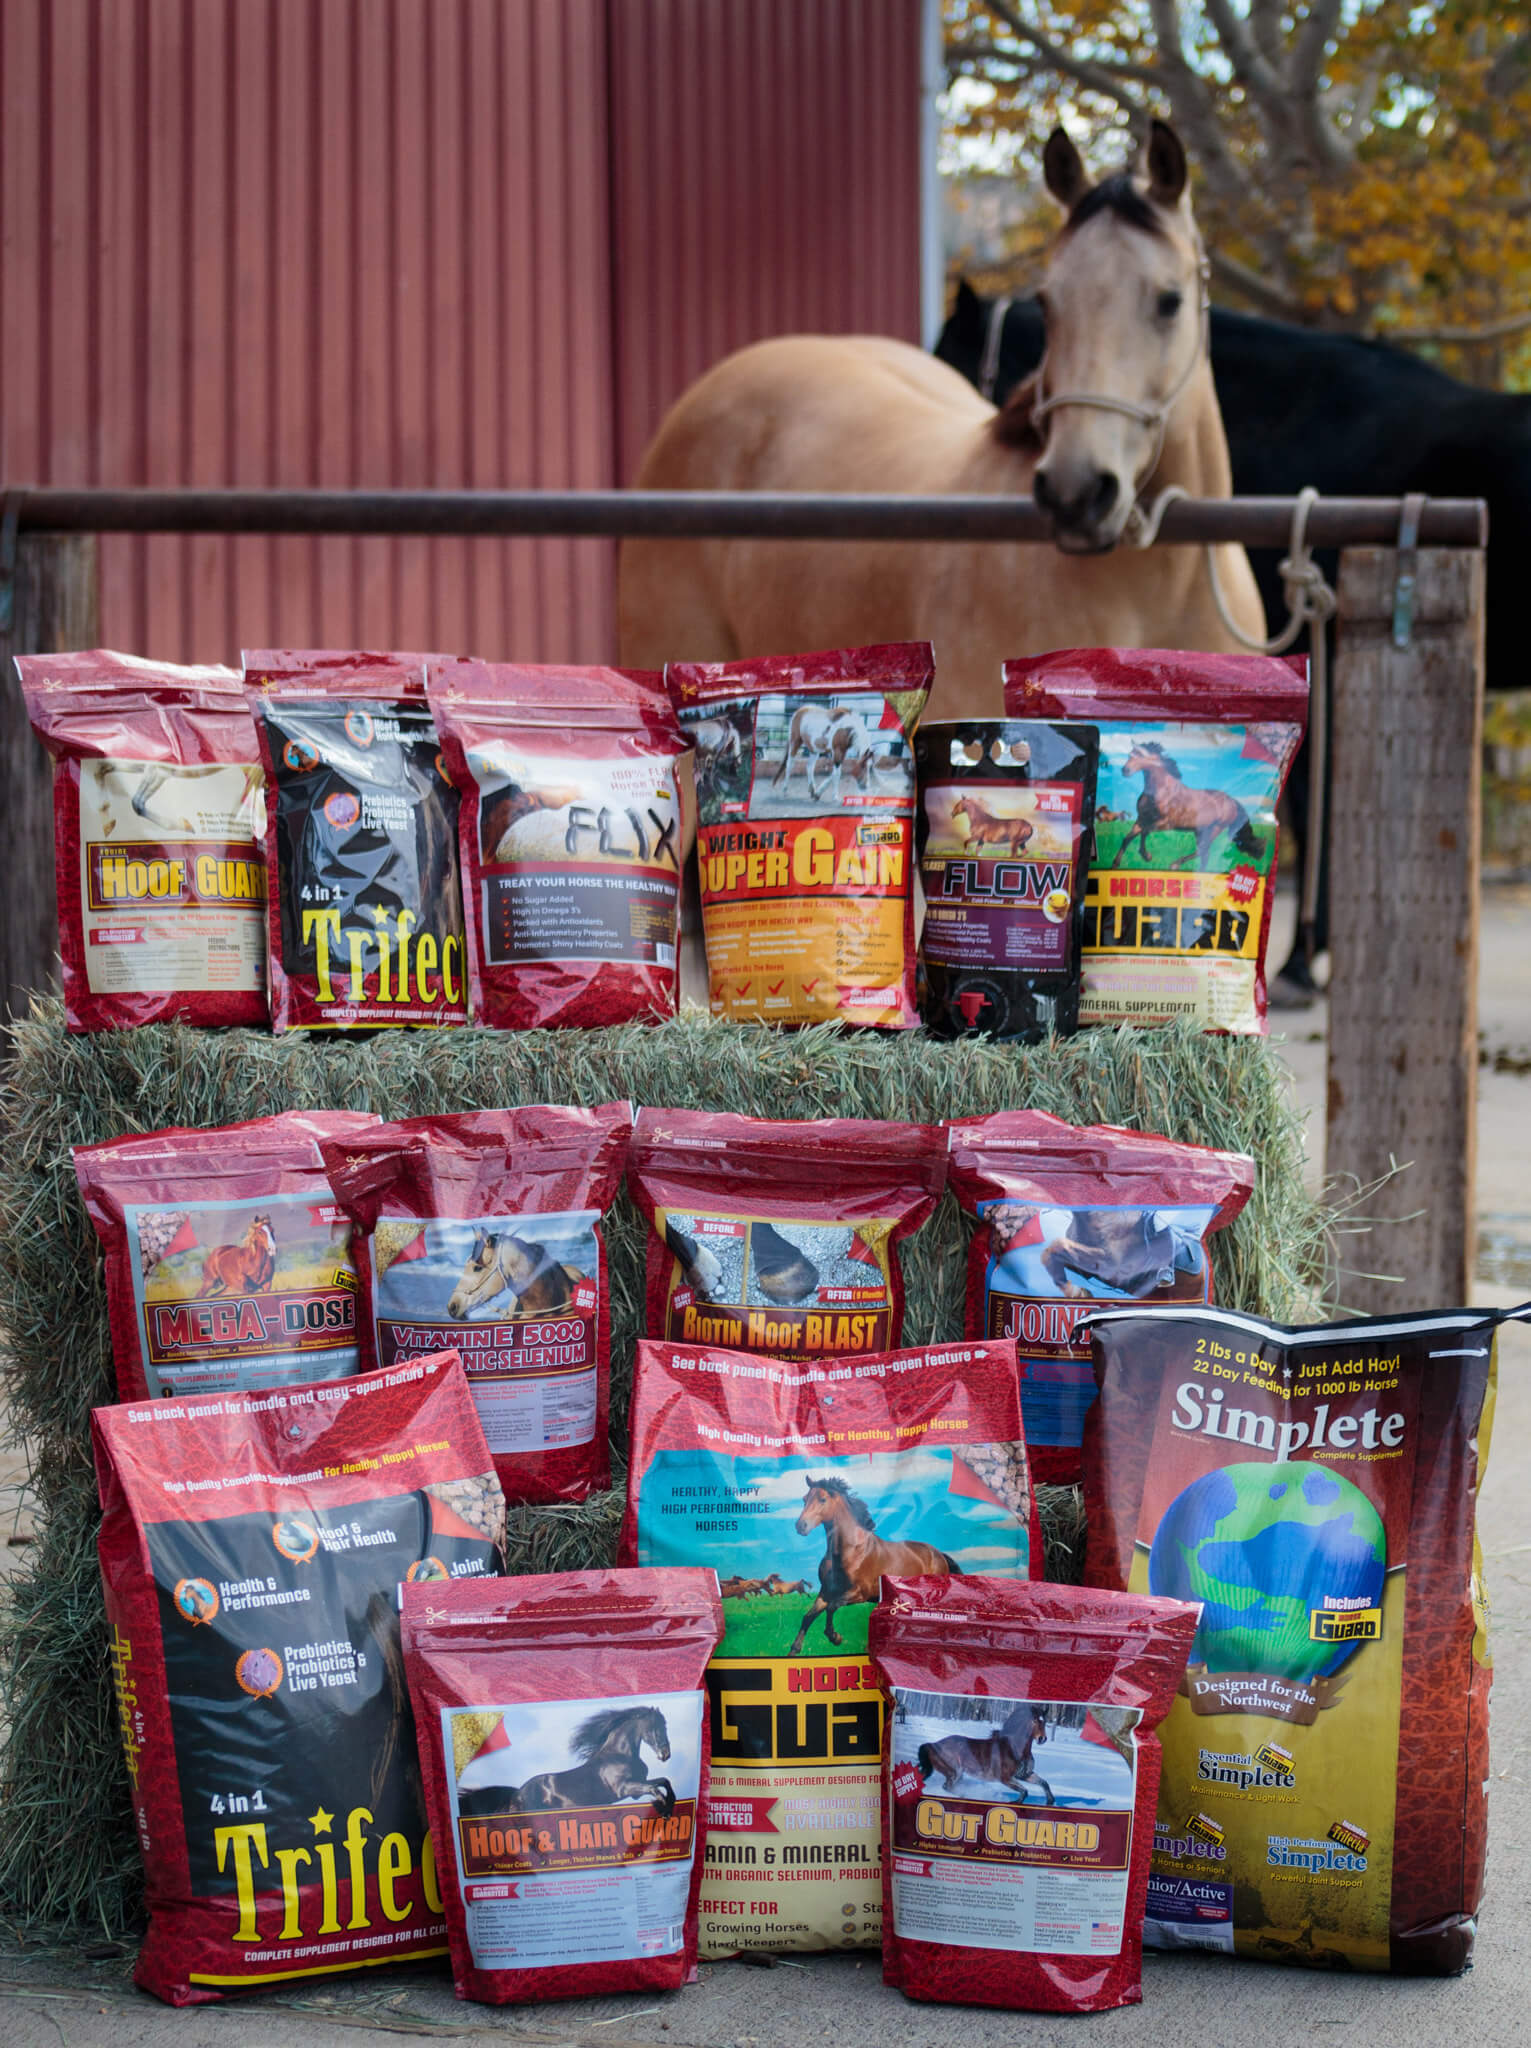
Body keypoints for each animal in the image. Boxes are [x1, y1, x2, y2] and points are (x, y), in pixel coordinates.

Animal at [457, 1705, 676, 1820]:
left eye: (666, 1725)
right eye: (656, 1727)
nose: (665, 1754)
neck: (619, 1755)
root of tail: (516, 1793)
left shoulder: (637, 1786)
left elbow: (664, 1781)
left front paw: (668, 1805)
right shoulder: (625, 1789)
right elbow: (655, 1789)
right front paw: (663, 1810)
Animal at [788, 1475, 961, 1655]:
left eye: (822, 1499)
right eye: (804, 1499)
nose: (801, 1526)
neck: (851, 1551)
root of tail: (939, 1555)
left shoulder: (859, 1593)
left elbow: (832, 1607)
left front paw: (836, 1638)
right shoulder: (826, 1591)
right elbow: (808, 1617)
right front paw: (794, 1650)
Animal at [917, 1703, 1053, 1805]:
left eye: (1044, 1721)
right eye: (1034, 1720)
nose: (1042, 1739)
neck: (1014, 1748)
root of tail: (933, 1744)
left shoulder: (1024, 1774)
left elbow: (1043, 1783)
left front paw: (1050, 1802)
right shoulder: (1004, 1778)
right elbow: (1024, 1792)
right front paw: (1013, 1803)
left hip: (957, 1774)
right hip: (954, 1772)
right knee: (947, 1787)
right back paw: (965, 1796)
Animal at [1115, 740, 1262, 870]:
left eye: (1142, 756)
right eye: (1130, 754)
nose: (1125, 770)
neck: (1161, 792)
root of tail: (1232, 801)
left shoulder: (1165, 823)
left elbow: (1145, 832)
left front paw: (1147, 856)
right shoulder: (1141, 819)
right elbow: (1127, 838)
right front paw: (1115, 864)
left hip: (1214, 829)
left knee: (1203, 852)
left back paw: (1175, 865)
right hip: (1200, 831)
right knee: (1204, 855)